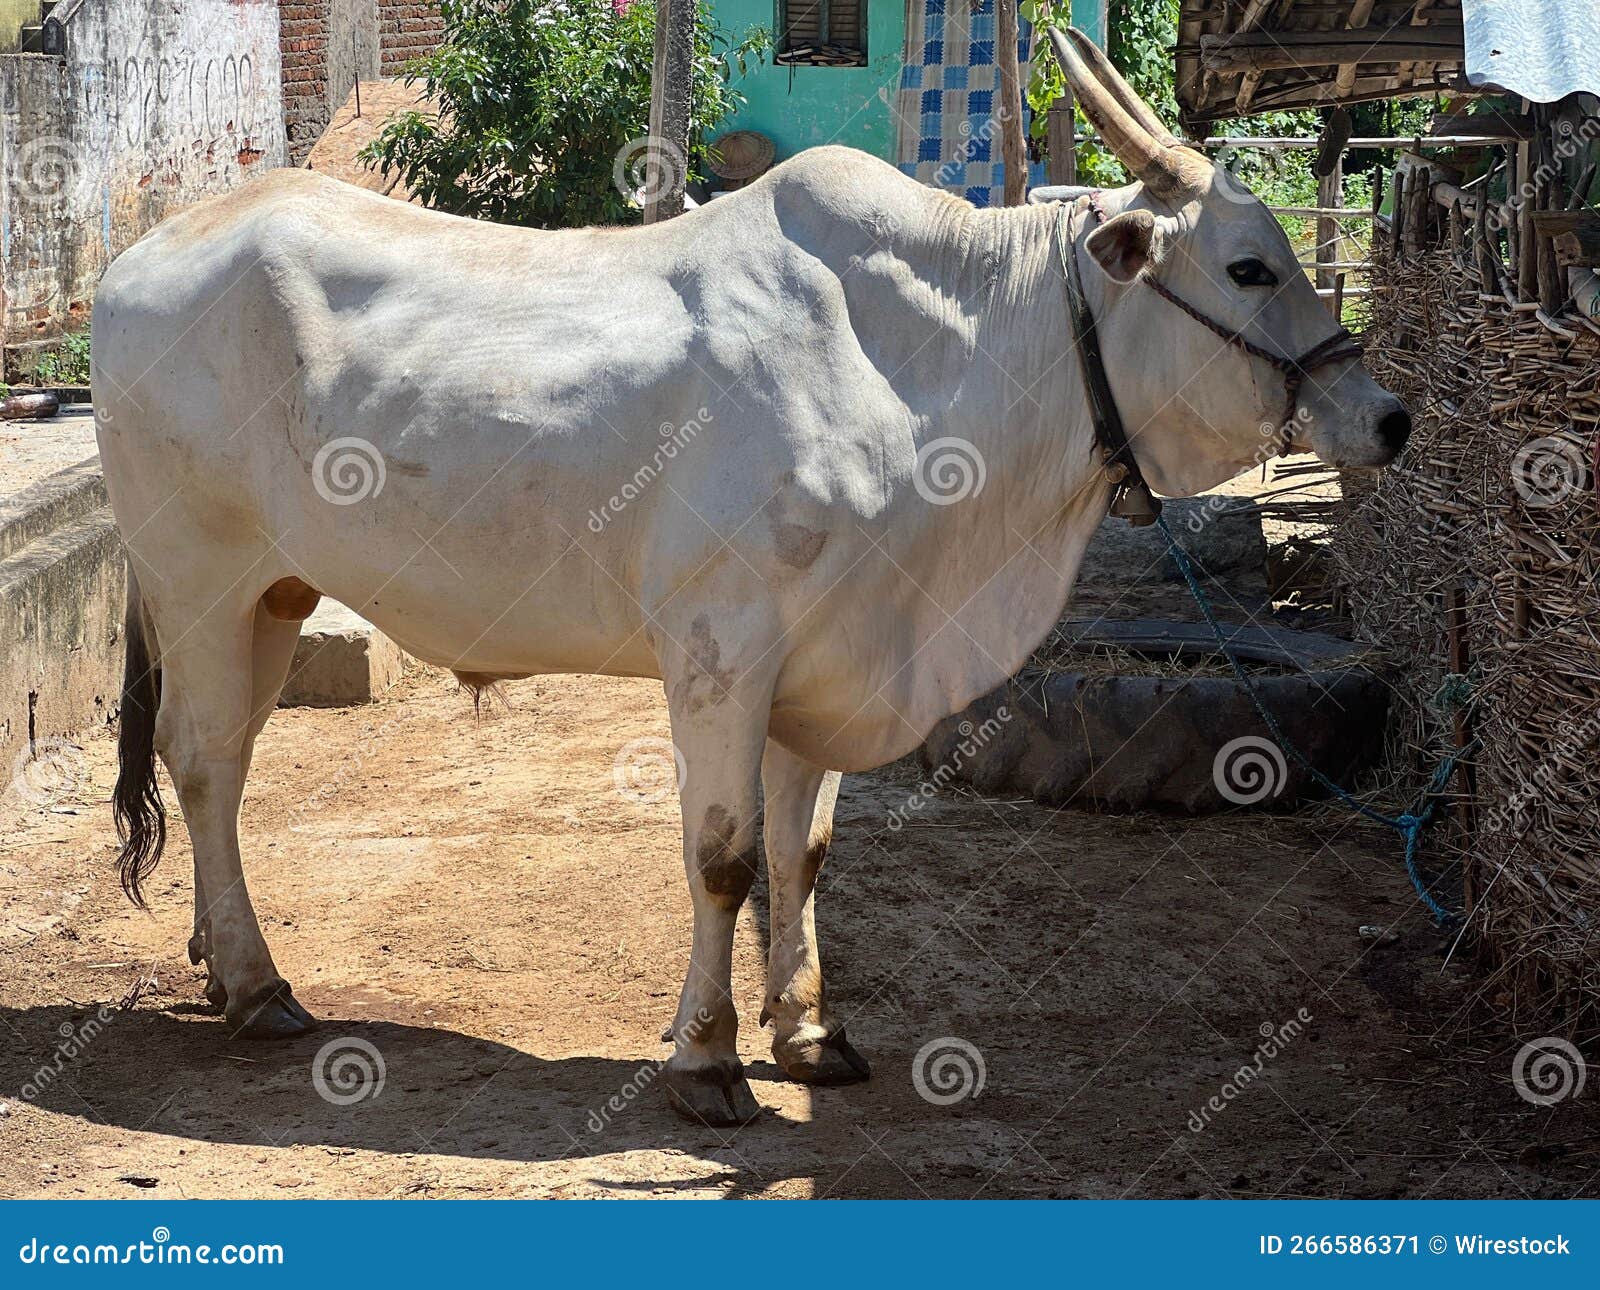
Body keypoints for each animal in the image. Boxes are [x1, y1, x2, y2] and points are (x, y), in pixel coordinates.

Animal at [91, 28, 1408, 1126]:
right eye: (1248, 268)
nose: (1387, 416)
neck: (929, 369)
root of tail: (140, 258)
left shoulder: (828, 658)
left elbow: (800, 854)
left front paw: (807, 1030)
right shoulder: (723, 649)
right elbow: (723, 859)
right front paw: (708, 1058)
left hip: (274, 591)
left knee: (219, 762)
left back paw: (220, 964)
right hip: (196, 571)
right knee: (202, 762)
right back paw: (257, 986)